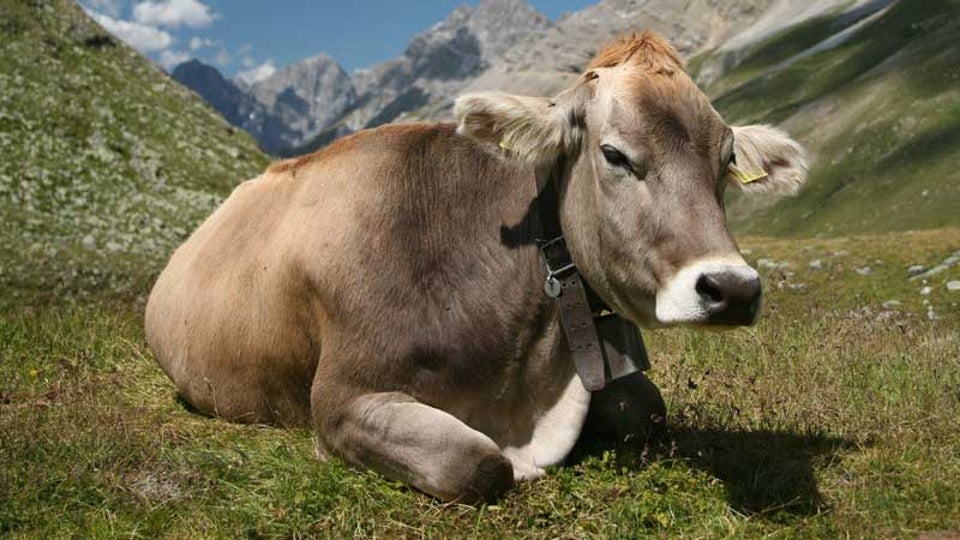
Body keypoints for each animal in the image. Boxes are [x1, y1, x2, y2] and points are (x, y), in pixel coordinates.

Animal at [145, 32, 806, 503]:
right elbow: (478, 464)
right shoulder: (341, 398)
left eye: (726, 160)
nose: (732, 289)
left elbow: (647, 410)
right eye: (614, 154)